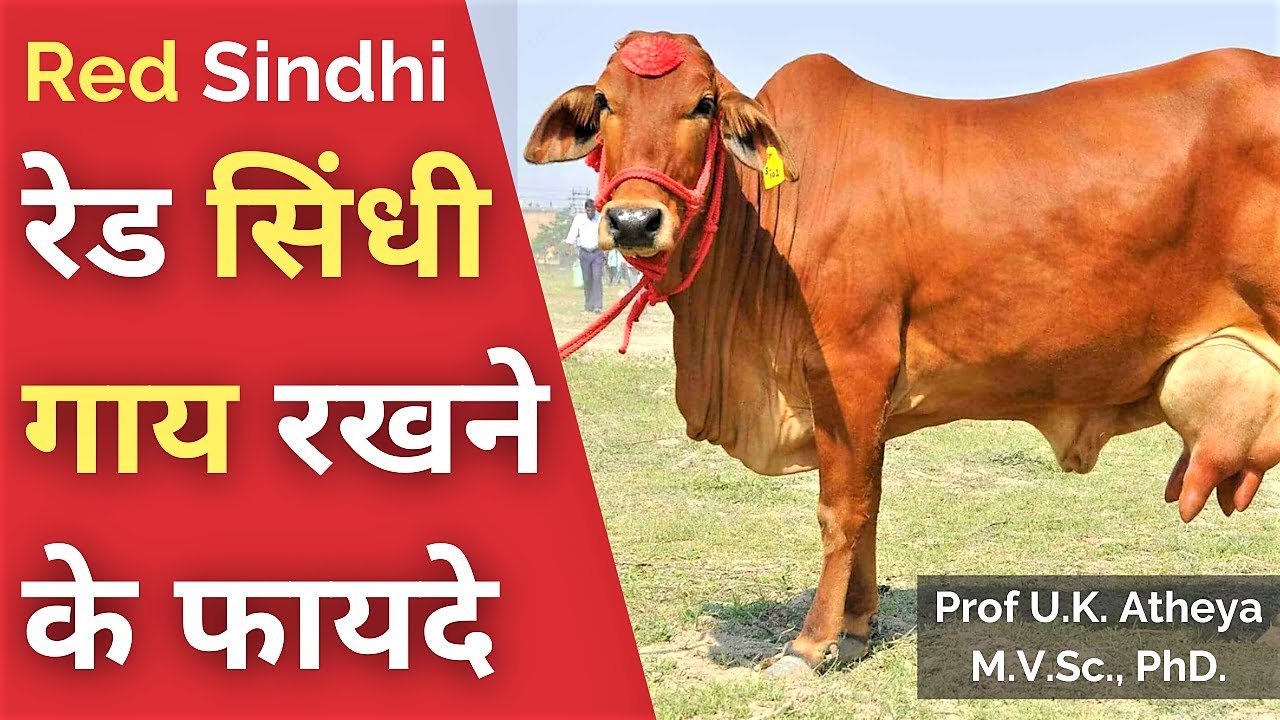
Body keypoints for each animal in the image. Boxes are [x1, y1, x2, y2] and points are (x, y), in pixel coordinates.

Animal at [524, 31, 1280, 676]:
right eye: (606, 103)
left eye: (703, 105)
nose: (632, 221)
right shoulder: (865, 399)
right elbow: (870, 502)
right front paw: (857, 630)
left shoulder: (849, 367)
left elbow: (841, 511)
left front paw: (809, 644)